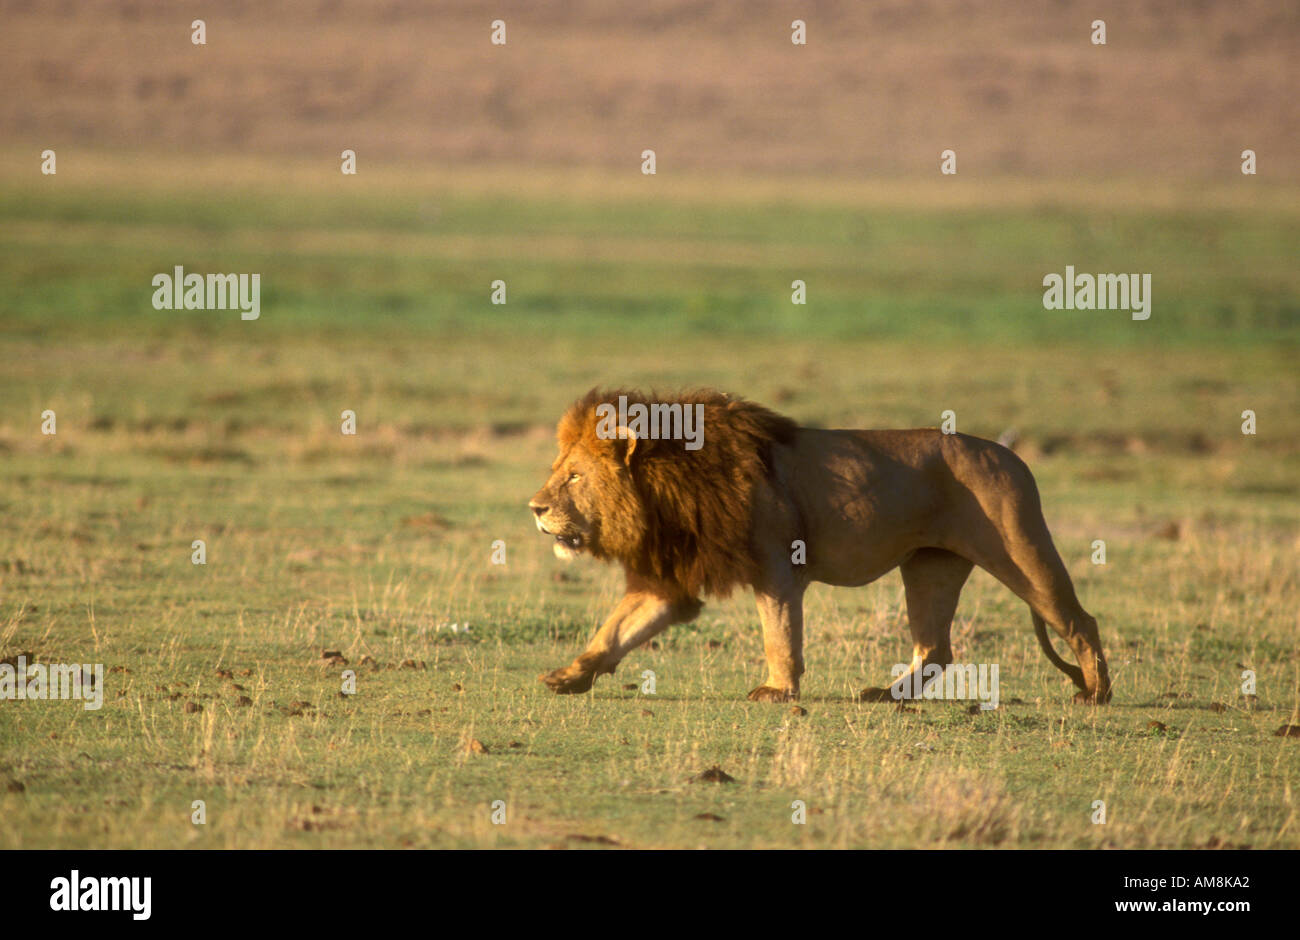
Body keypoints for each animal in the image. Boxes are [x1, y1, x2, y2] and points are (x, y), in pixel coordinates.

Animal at [528, 388, 1111, 705]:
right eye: (559, 471)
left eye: (575, 477)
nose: (534, 508)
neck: (667, 489)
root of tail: (1013, 455)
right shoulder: (668, 580)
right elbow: (614, 630)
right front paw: (568, 677)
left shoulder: (777, 566)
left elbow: (779, 635)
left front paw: (778, 691)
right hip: (930, 567)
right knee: (936, 648)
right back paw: (886, 696)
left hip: (1020, 550)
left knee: (1080, 620)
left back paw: (1097, 693)